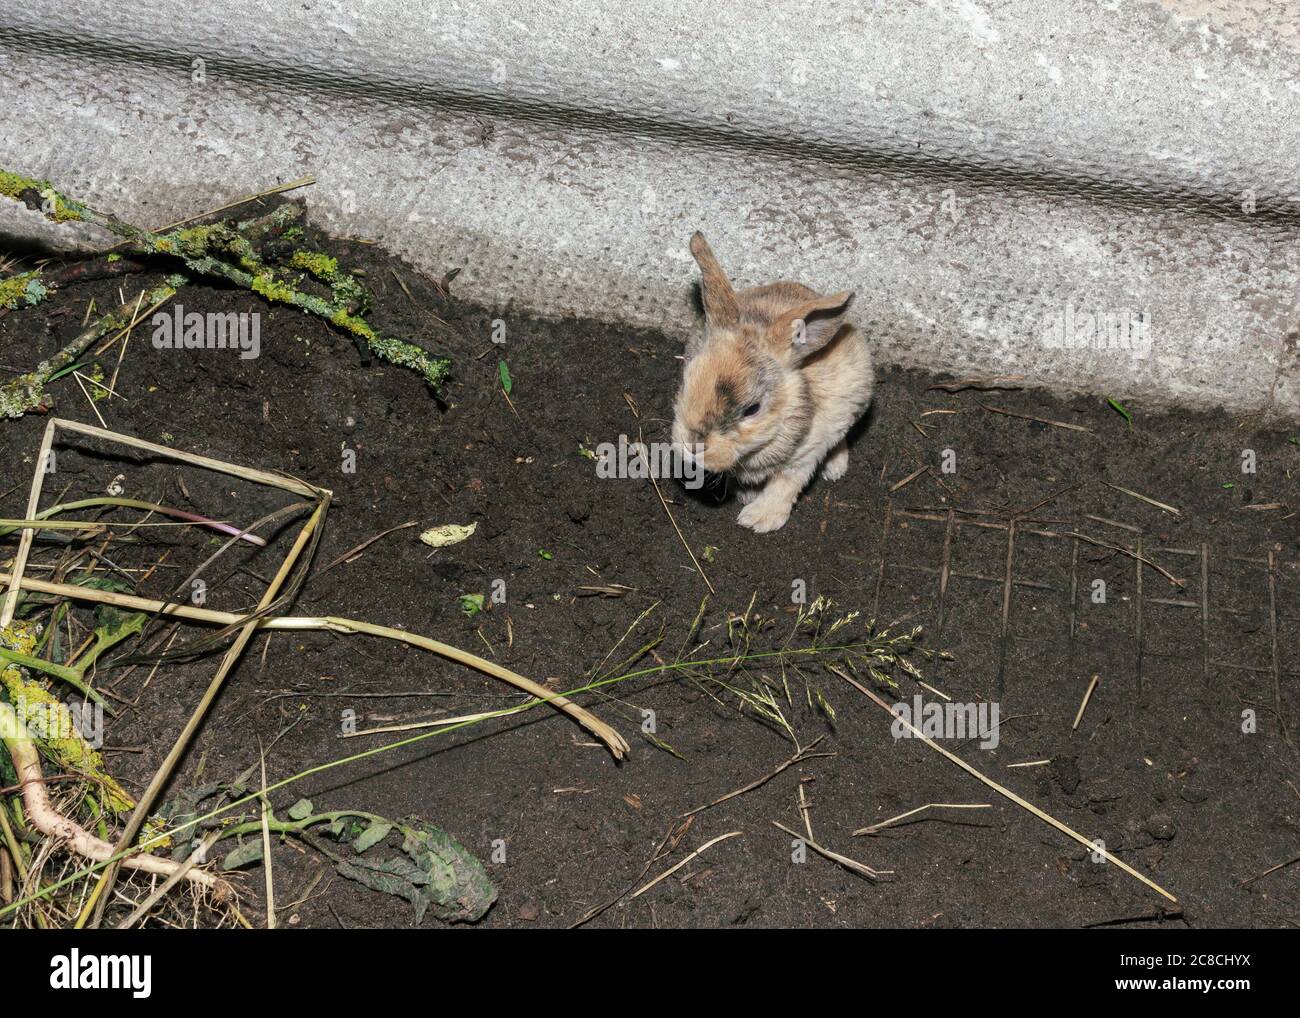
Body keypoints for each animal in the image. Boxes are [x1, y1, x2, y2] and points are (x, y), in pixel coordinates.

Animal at [671, 232, 874, 533]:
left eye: (752, 409)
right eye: (687, 381)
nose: (692, 446)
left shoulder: (804, 456)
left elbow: (784, 486)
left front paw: (757, 520)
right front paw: (746, 496)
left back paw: (835, 469)